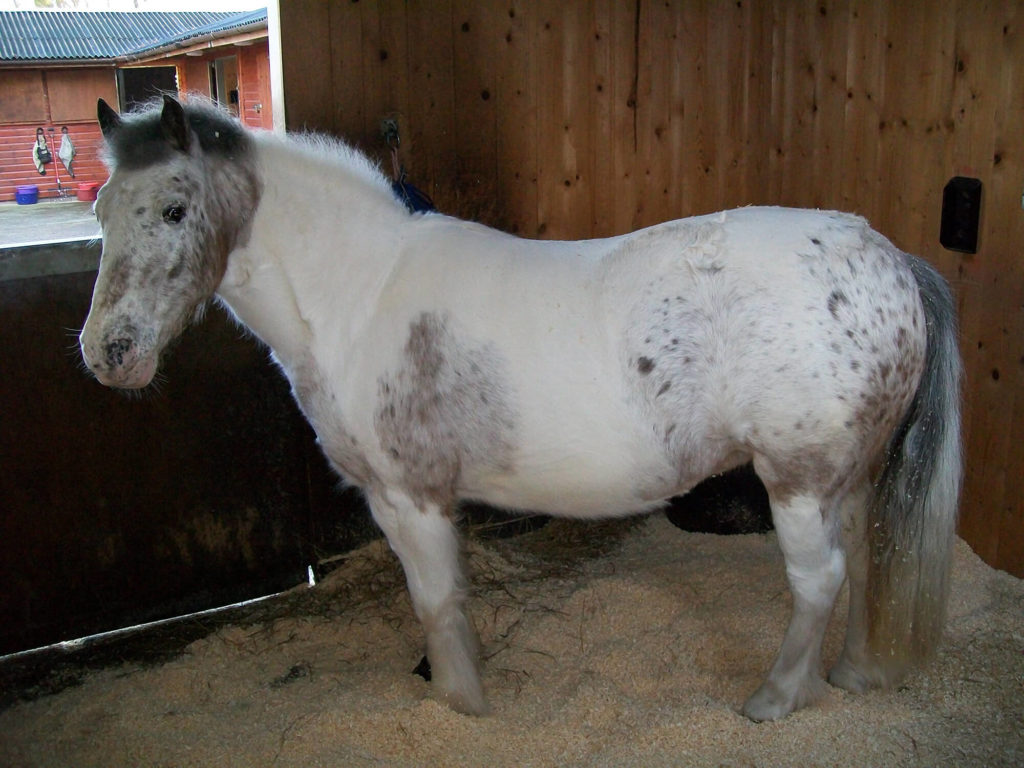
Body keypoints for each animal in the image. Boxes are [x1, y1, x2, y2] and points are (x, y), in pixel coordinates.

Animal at [80, 96, 962, 721]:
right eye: (101, 211)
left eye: (174, 209)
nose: (108, 351)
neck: (358, 295)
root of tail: (891, 257)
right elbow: (453, 603)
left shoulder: (408, 497)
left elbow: (435, 604)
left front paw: (461, 706)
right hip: (846, 477)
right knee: (864, 560)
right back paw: (845, 674)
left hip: (799, 481)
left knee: (819, 580)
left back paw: (774, 700)